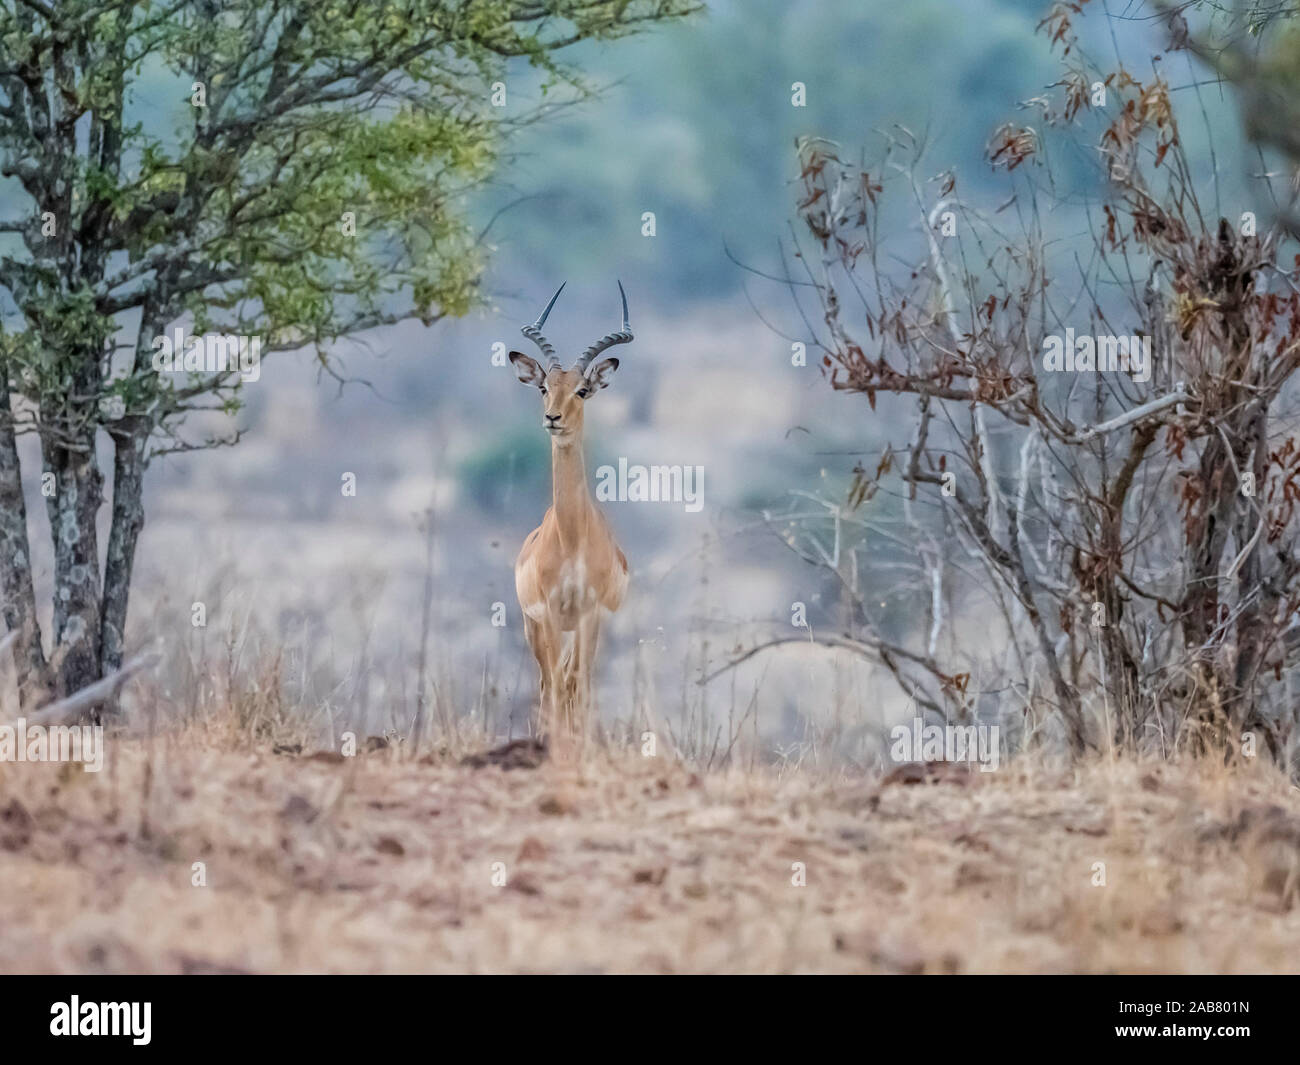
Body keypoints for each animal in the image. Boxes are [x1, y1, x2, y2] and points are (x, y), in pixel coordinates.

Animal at [509, 282, 632, 743]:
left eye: (582, 390)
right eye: (544, 386)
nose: (553, 418)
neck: (572, 537)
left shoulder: (590, 614)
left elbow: (579, 684)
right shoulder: (547, 614)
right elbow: (559, 688)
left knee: (573, 681)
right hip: (535, 628)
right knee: (549, 684)